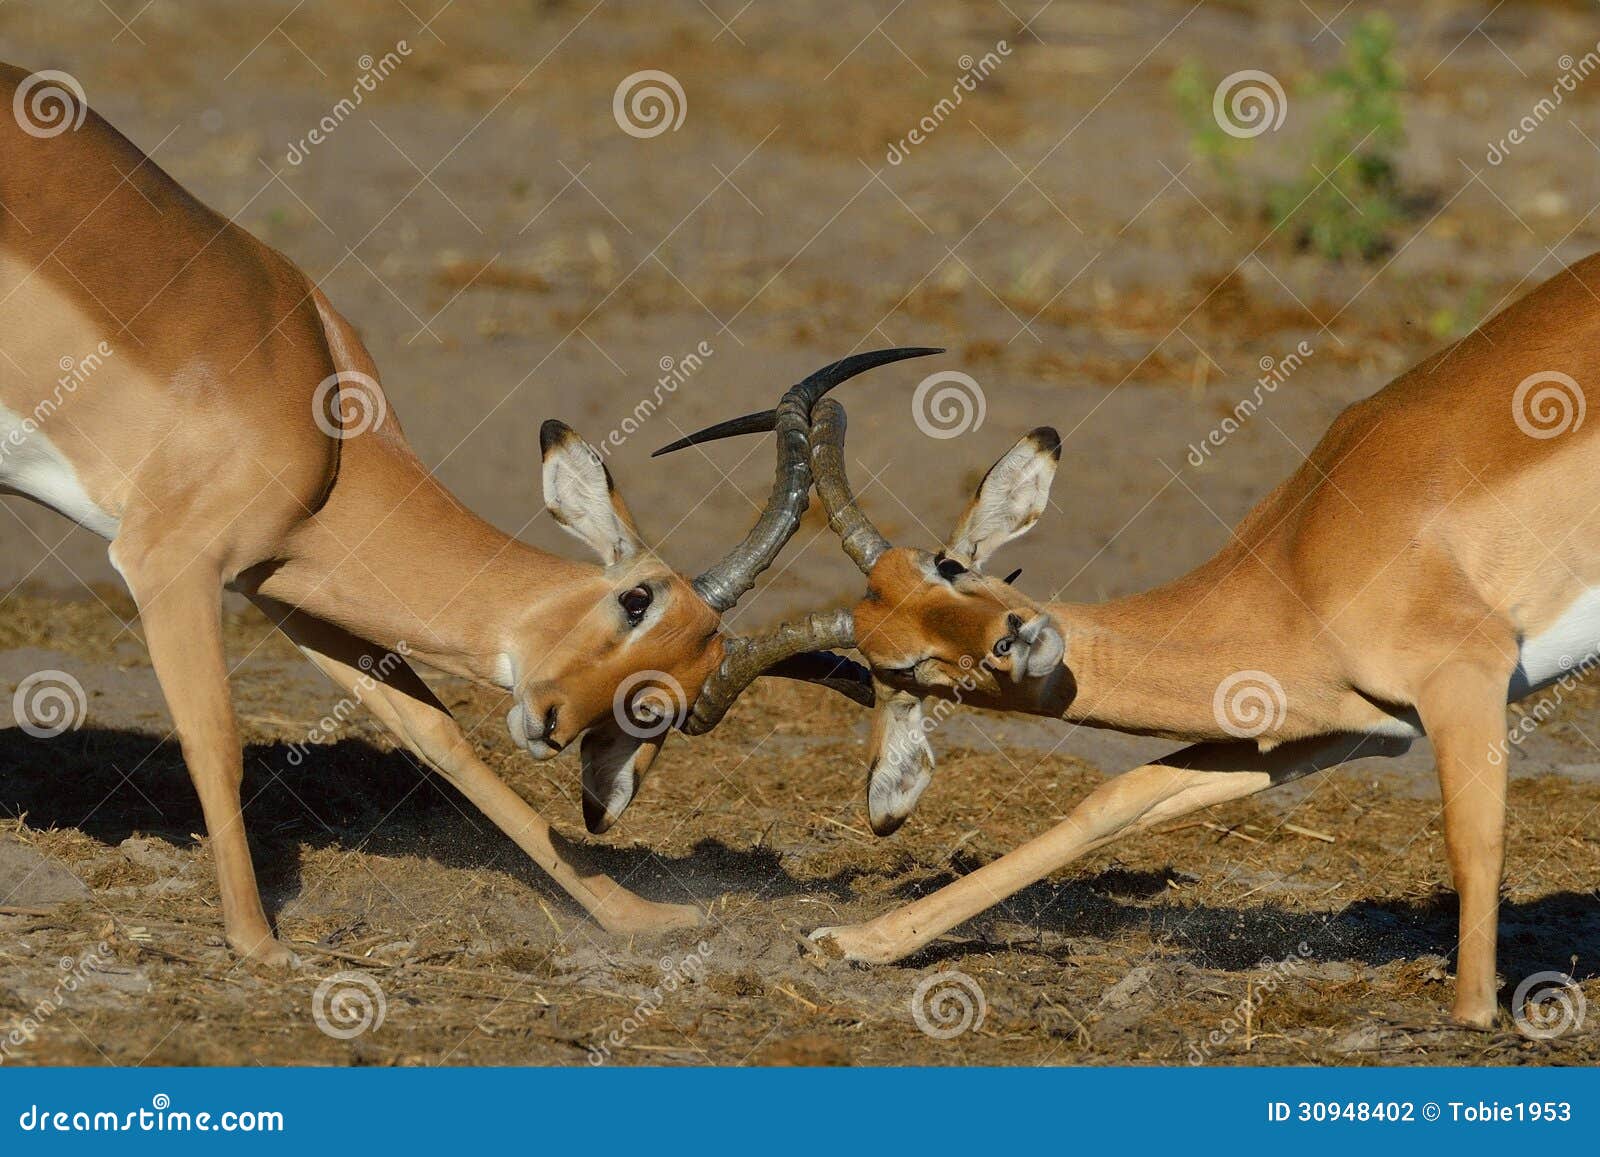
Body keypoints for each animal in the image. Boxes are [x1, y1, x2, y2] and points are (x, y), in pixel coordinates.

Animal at [0, 63, 890, 965]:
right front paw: (261, 944)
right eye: (635, 599)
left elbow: (445, 741)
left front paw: (640, 916)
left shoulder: (281, 584)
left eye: (665, 704)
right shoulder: (170, 562)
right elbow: (215, 740)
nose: (553, 724)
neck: (328, 422)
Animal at [661, 257, 1600, 1028]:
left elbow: (1474, 844)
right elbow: (1112, 803)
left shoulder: (1466, 675)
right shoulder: (1334, 729)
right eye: (906, 663)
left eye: (949, 565)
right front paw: (851, 939)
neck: (1301, 564)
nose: (1016, 639)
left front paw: (1473, 1017)